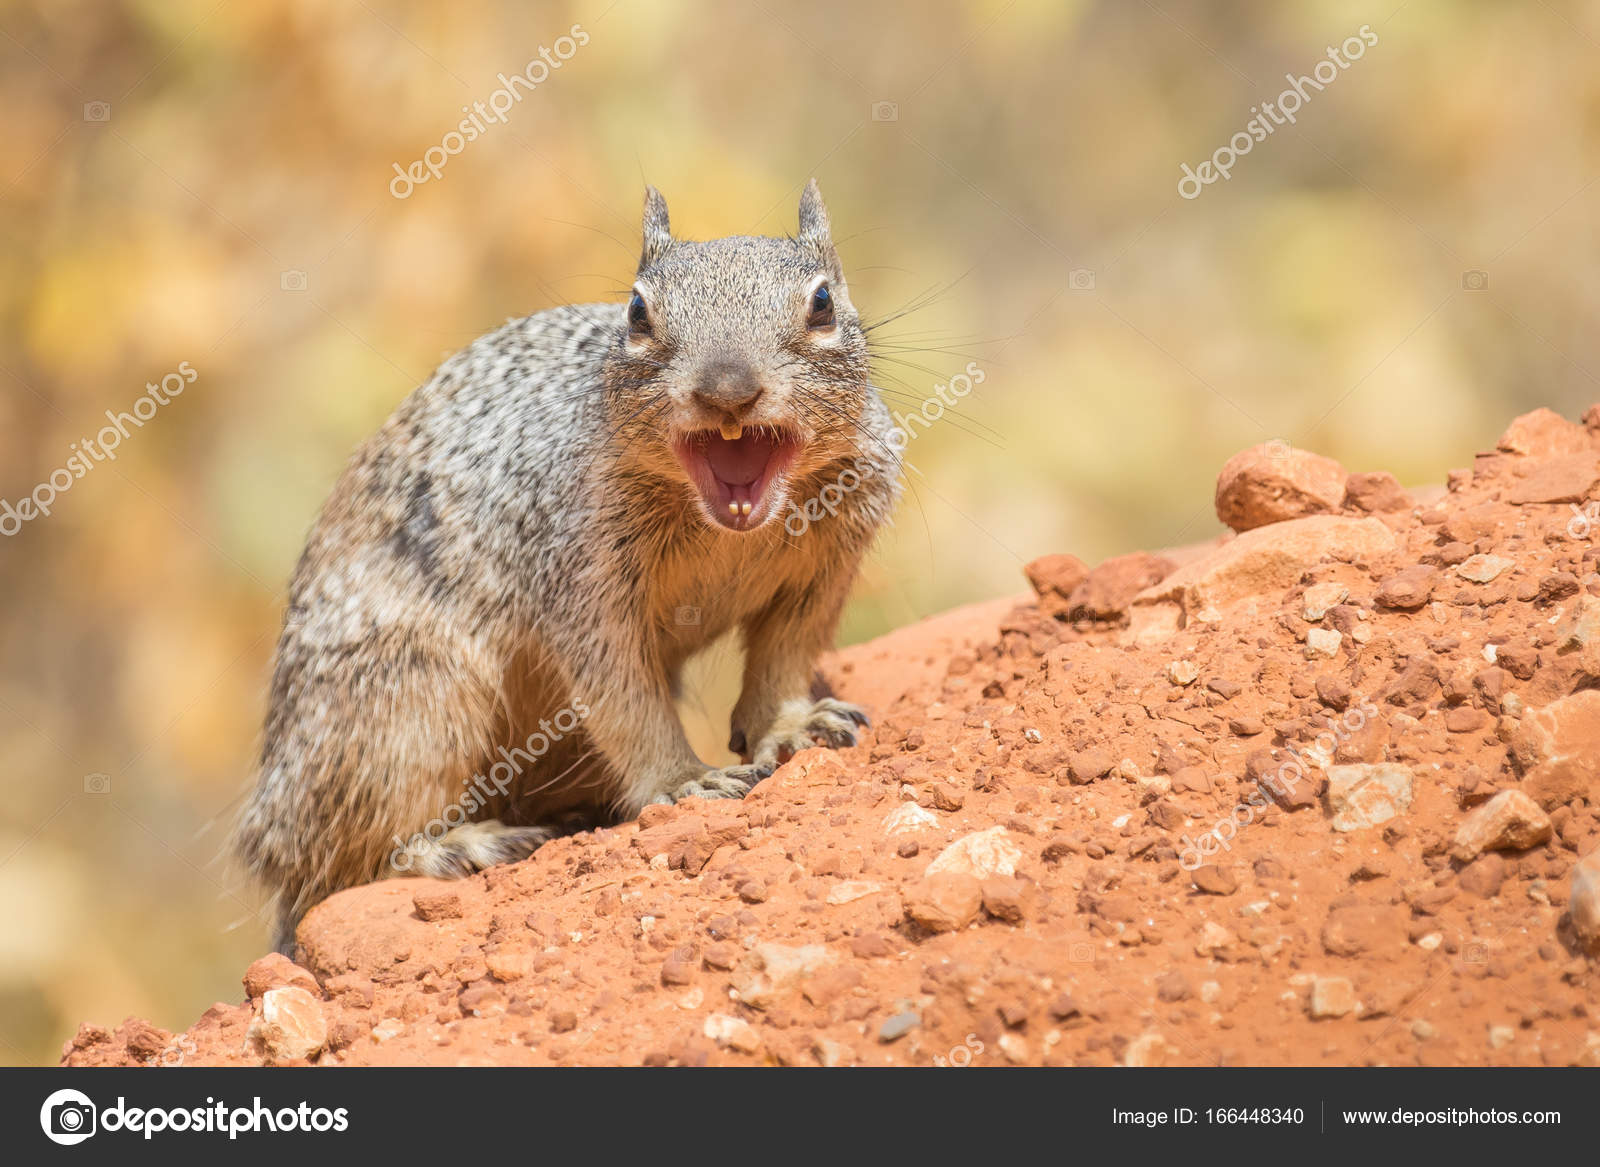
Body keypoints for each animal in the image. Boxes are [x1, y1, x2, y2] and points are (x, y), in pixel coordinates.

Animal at [234, 181, 901, 952]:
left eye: (823, 302)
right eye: (637, 312)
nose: (727, 390)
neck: (726, 529)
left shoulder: (821, 574)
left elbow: (784, 658)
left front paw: (796, 725)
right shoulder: (582, 581)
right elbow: (623, 696)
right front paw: (683, 780)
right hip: (410, 707)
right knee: (347, 859)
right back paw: (460, 845)